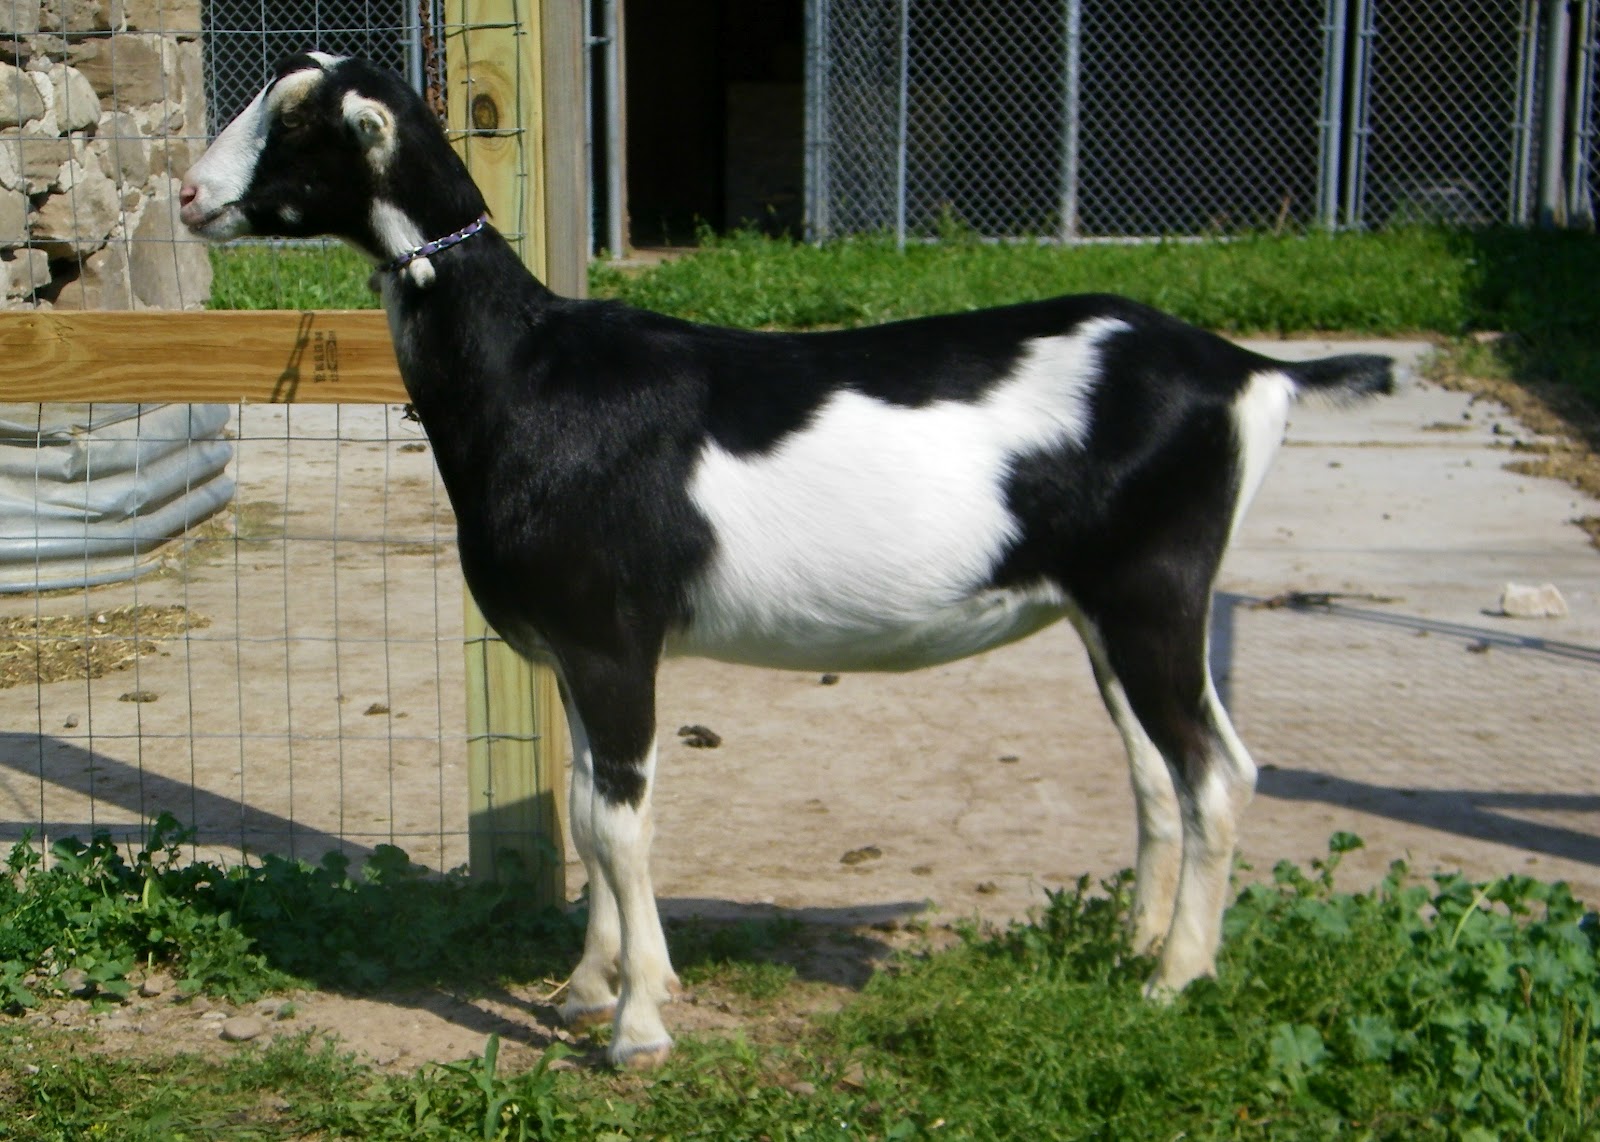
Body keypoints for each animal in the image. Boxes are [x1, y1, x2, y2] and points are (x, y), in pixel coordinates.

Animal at [180, 54, 1394, 1069]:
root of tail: (1250, 370)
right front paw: (586, 985)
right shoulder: (574, 648)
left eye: (298, 120)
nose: (189, 196)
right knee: (1154, 770)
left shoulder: (610, 637)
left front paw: (637, 1025)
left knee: (1216, 770)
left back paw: (1177, 979)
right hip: (1104, 608)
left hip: (1157, 589)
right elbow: (582, 807)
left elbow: (616, 820)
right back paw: (1135, 946)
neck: (531, 370)